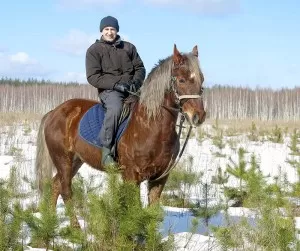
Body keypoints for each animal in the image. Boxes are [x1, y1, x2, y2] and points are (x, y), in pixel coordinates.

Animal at [35, 44, 206, 226]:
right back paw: (75, 228)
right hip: (63, 160)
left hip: (76, 160)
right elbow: (135, 212)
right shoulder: (131, 176)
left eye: (201, 80)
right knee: (66, 190)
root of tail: (53, 112)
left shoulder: (160, 178)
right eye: (181, 80)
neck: (151, 127)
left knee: (55, 186)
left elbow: (152, 213)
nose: (199, 116)